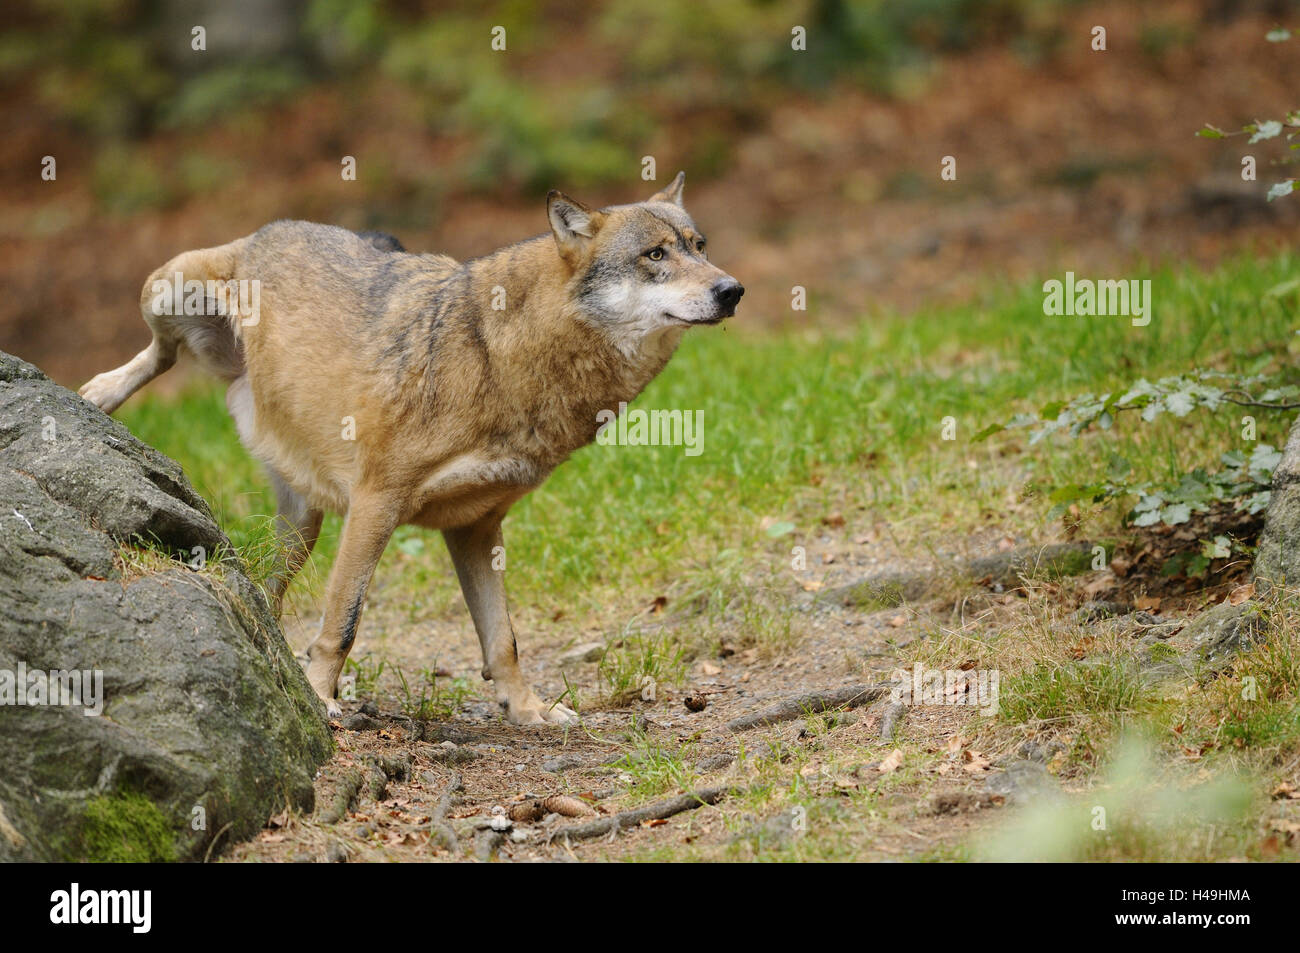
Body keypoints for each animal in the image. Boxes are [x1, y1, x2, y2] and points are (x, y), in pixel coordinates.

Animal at [80, 172, 742, 724]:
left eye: (700, 245)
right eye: (654, 255)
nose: (733, 290)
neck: (501, 358)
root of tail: (285, 223)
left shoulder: (476, 529)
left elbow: (503, 641)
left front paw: (527, 711)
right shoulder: (376, 502)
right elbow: (343, 621)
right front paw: (320, 698)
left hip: (300, 527)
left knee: (263, 591)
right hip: (168, 289)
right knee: (160, 353)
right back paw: (99, 392)